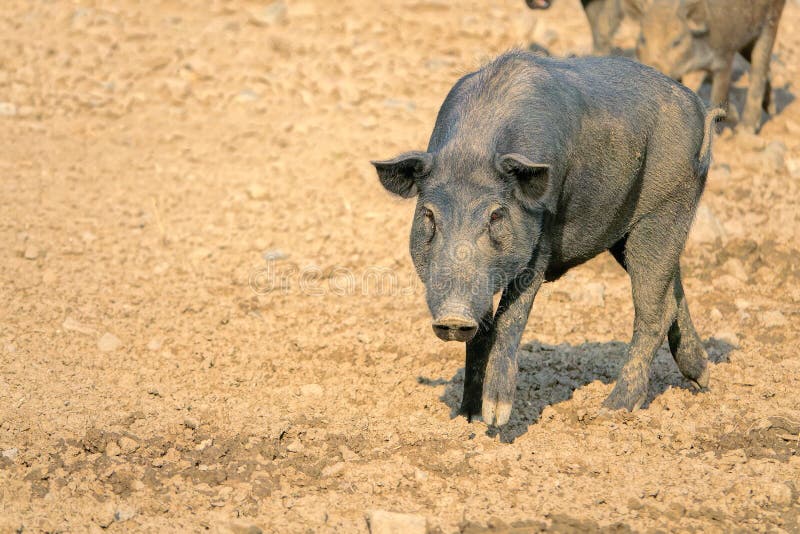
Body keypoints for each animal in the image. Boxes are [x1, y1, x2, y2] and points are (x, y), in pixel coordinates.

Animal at [372, 50, 723, 426]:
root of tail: (699, 108)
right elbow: (481, 334)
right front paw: (466, 418)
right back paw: (702, 380)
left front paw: (496, 420)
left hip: (667, 206)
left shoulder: (540, 238)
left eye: (496, 215)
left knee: (652, 310)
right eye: (429, 215)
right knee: (672, 292)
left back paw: (610, 410)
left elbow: (508, 321)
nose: (454, 316)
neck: (474, 145)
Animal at [624, 0, 785, 132]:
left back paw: (746, 128)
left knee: (760, 68)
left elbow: (718, 94)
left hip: (772, 21)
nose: (653, 67)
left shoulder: (725, 56)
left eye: (677, 41)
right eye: (642, 39)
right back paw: (769, 110)